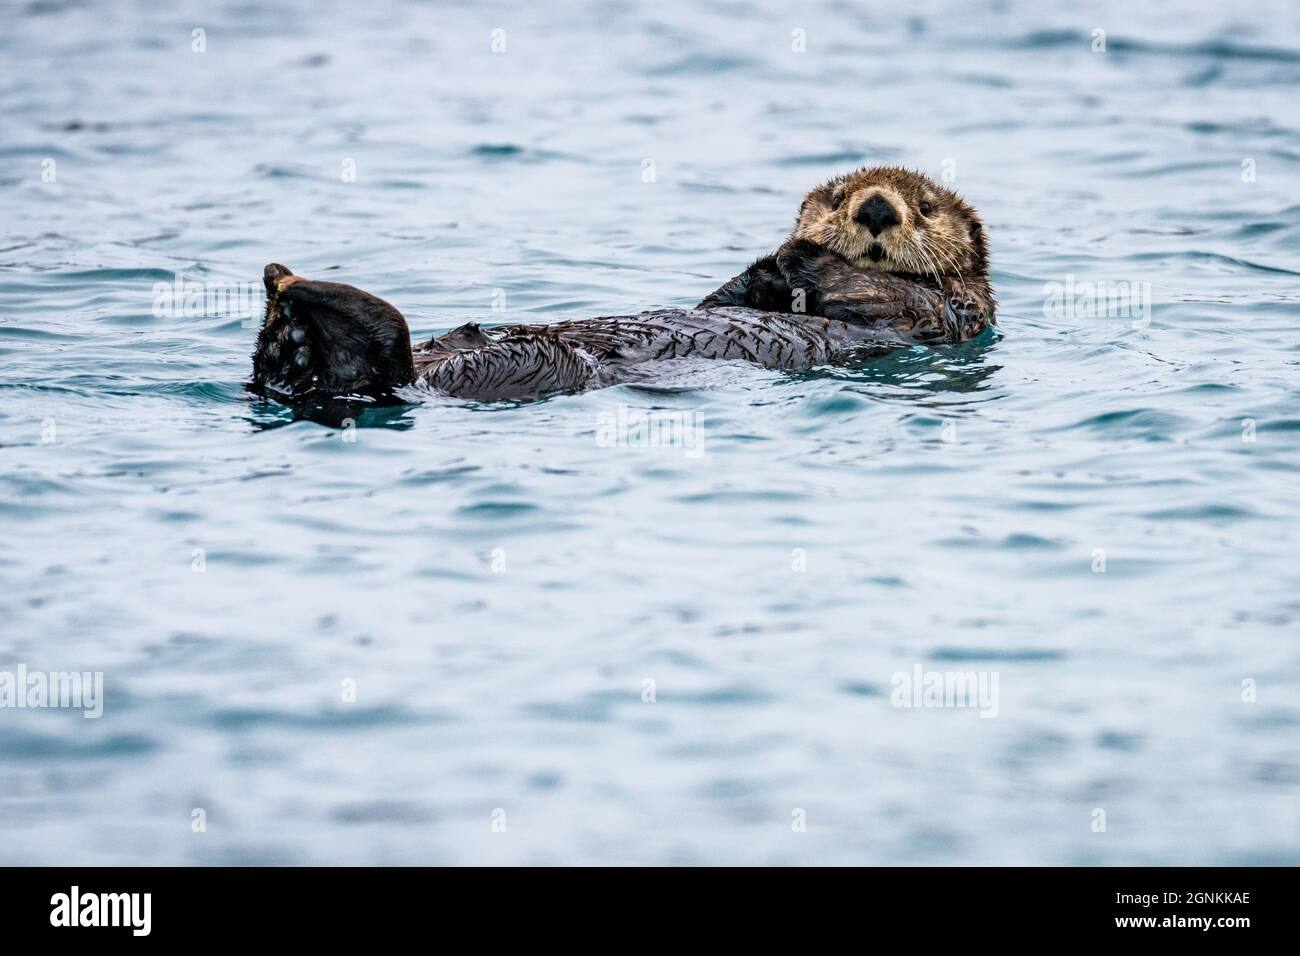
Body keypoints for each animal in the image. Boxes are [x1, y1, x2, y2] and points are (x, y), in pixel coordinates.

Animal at [251, 167, 993, 404]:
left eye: (925, 206)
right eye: (839, 196)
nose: (876, 208)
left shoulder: (941, 310)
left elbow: (881, 295)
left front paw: (801, 255)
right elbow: (725, 296)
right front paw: (781, 255)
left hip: (534, 364)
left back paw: (303, 310)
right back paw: (287, 325)